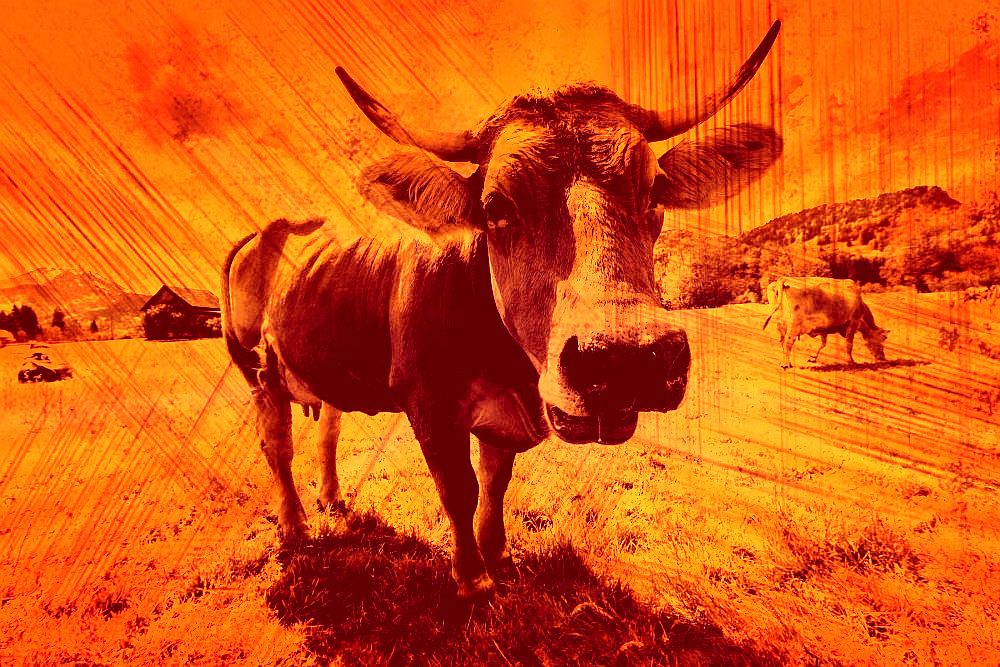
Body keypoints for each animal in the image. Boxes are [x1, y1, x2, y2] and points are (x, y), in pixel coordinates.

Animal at [222, 21, 784, 599]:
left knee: (328, 424)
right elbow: (460, 490)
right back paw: (295, 526)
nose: (626, 358)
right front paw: (471, 577)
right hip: (256, 370)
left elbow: (496, 484)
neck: (506, 364)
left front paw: (499, 560)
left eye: (654, 192)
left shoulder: (505, 418)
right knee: (276, 446)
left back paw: (332, 498)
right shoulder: (429, 407)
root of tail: (262, 233)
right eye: (496, 209)